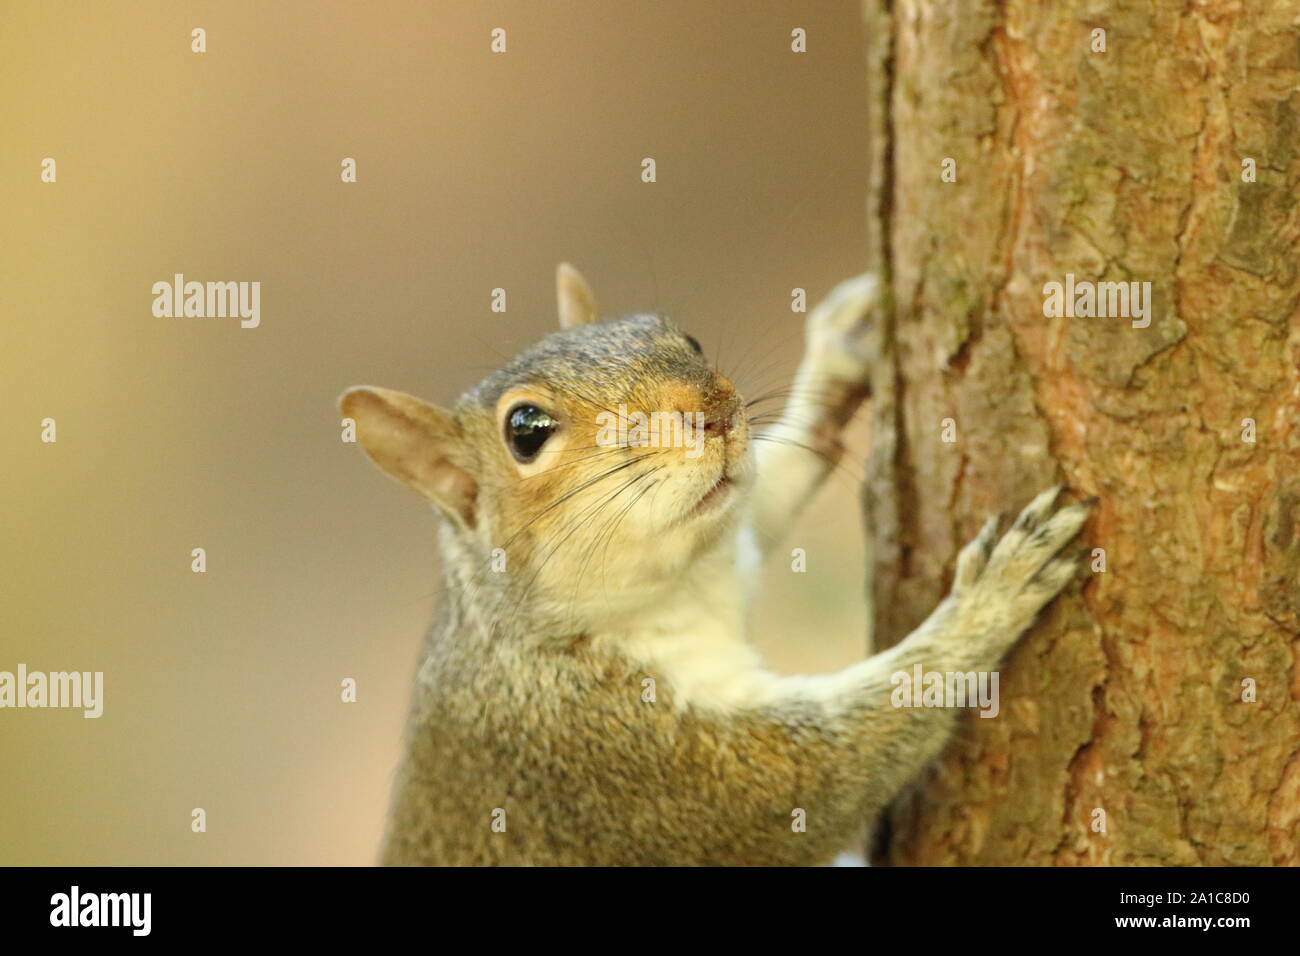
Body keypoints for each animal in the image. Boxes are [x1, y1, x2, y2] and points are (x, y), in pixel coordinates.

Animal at [340, 264, 1091, 866]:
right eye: (526, 431)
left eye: (685, 339)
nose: (713, 412)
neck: (679, 589)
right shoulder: (623, 758)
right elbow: (837, 764)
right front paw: (989, 600)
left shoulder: (729, 546)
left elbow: (768, 490)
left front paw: (837, 358)